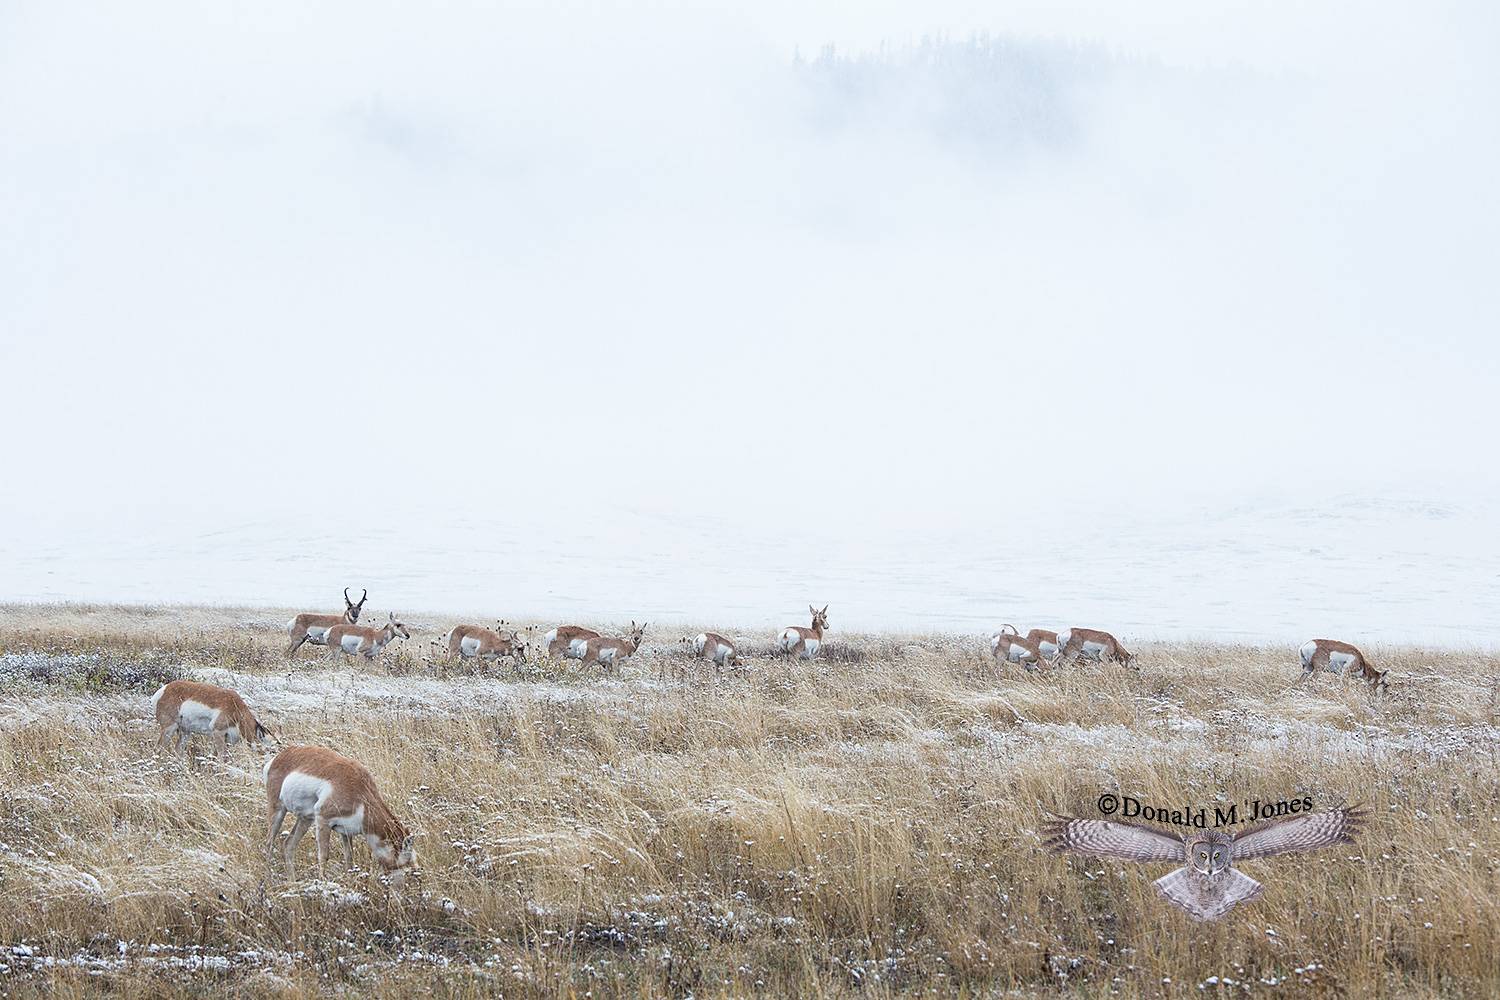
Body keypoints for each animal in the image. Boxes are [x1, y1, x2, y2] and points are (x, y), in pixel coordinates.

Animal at [263, 745, 416, 885]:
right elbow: (324, 856)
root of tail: (277, 758)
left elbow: (349, 858)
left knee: (288, 844)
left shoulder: (346, 832)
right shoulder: (323, 820)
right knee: (269, 844)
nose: (402, 885)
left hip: (306, 819)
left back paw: (292, 882)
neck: (360, 791)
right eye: (405, 860)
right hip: (278, 810)